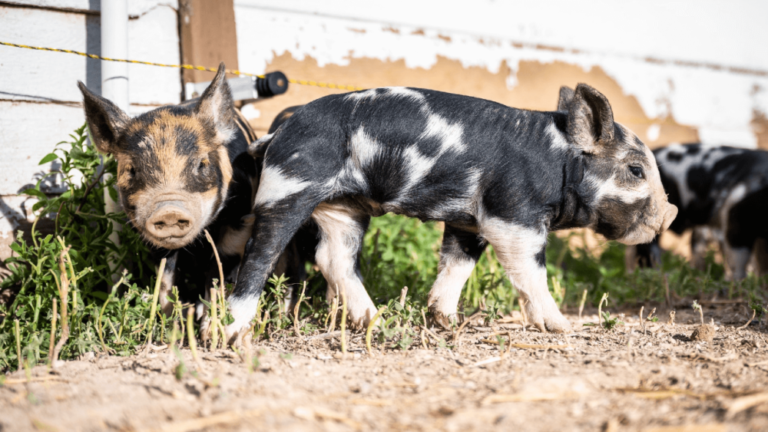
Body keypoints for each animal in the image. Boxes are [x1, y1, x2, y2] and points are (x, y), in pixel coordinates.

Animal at [78, 64, 314, 317]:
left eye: (202, 164)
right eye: (132, 169)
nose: (169, 210)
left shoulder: (241, 219)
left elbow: (218, 273)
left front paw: (209, 318)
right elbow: (166, 278)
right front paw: (171, 318)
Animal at [223, 83, 677, 342]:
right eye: (636, 170)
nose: (671, 212)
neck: (558, 161)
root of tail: (276, 133)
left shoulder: (468, 219)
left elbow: (457, 265)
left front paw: (446, 321)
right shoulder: (513, 214)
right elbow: (532, 272)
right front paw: (562, 328)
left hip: (343, 207)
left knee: (333, 257)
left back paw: (375, 323)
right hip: (290, 186)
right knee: (261, 255)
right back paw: (233, 331)